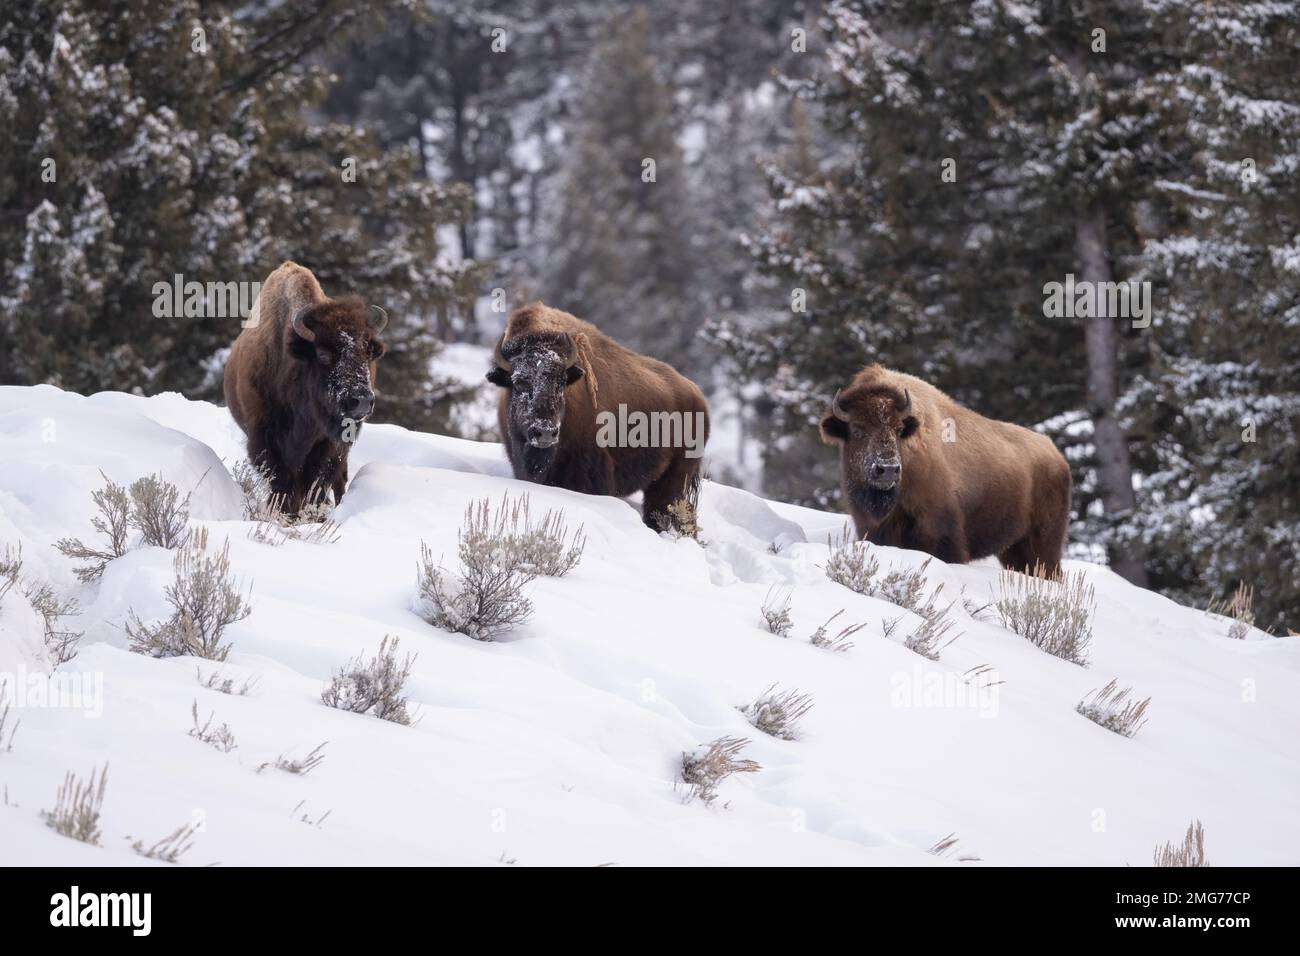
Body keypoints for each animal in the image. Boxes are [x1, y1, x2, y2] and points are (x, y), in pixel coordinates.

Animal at [224, 261, 387, 513]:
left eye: (368, 353)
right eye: (322, 354)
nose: (360, 401)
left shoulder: (329, 442)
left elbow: (316, 480)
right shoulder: (262, 436)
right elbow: (282, 479)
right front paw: (284, 512)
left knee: (339, 480)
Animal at [820, 365, 1071, 576]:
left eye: (898, 429)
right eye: (857, 429)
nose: (888, 469)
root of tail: (1057, 456)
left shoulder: (942, 534)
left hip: (1042, 542)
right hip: (1013, 548)